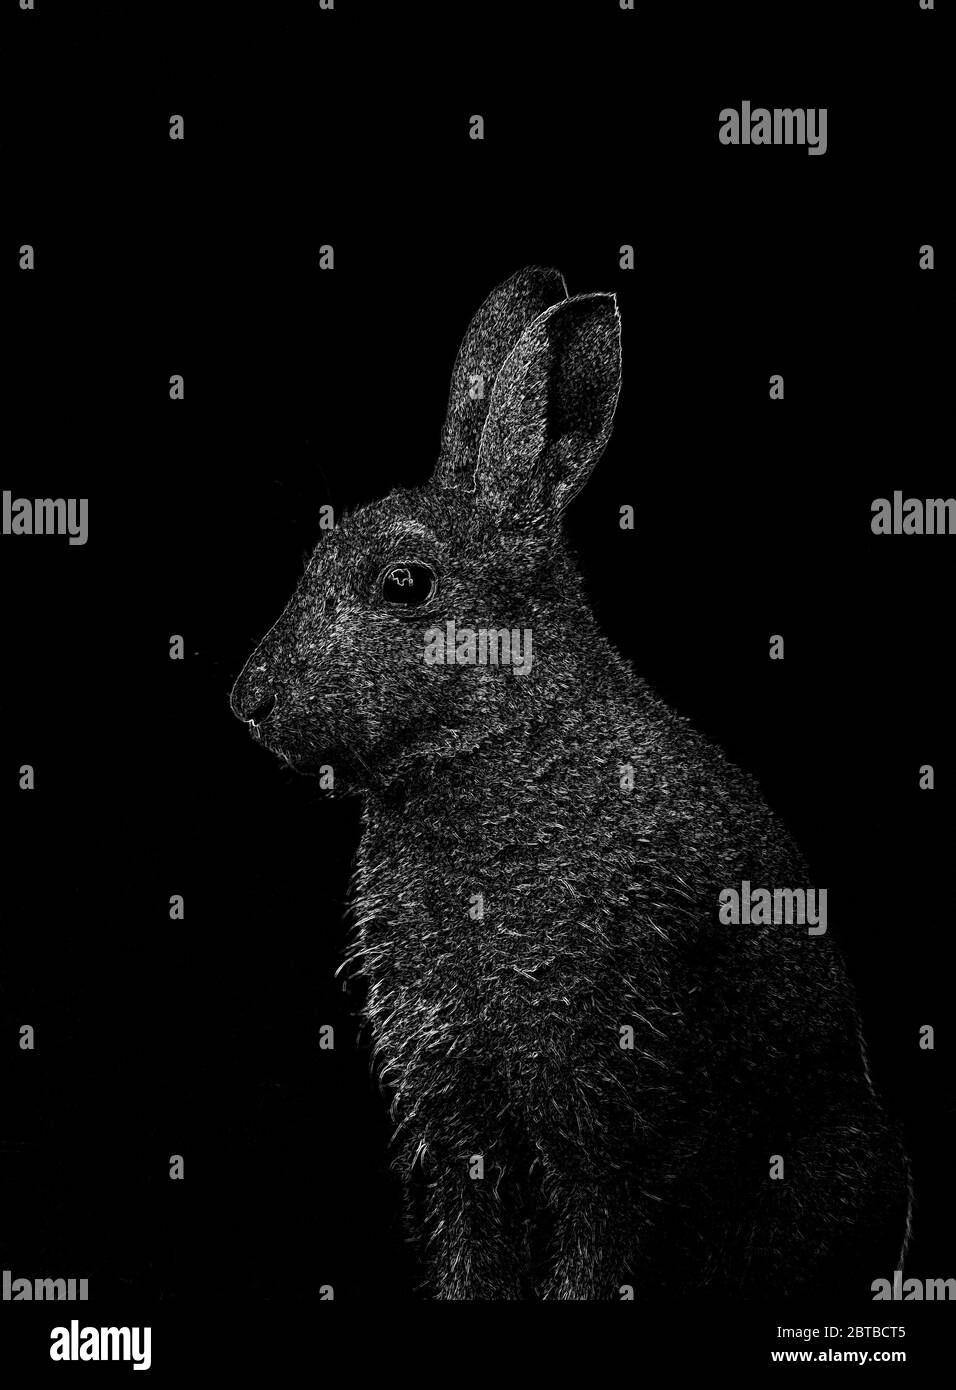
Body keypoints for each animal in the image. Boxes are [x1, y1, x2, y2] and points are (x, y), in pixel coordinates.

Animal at [230, 266, 911, 1300]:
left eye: (406, 583)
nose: (246, 700)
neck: (496, 745)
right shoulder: (454, 1114)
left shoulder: (607, 1104)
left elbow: (597, 1247)